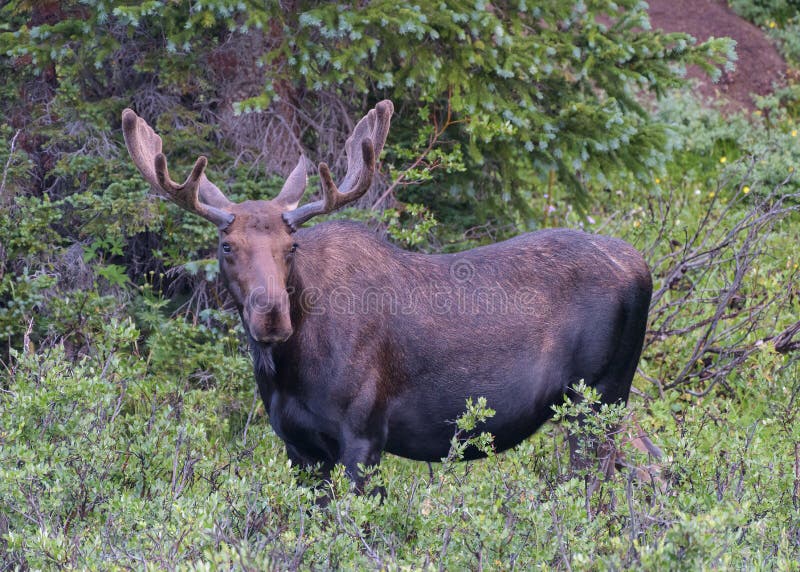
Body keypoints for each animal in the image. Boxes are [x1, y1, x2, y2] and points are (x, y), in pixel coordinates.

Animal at [122, 100, 653, 494]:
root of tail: (642, 267)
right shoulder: (298, 447)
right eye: (227, 245)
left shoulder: (363, 434)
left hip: (599, 397)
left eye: (291, 246)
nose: (271, 317)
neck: (291, 368)